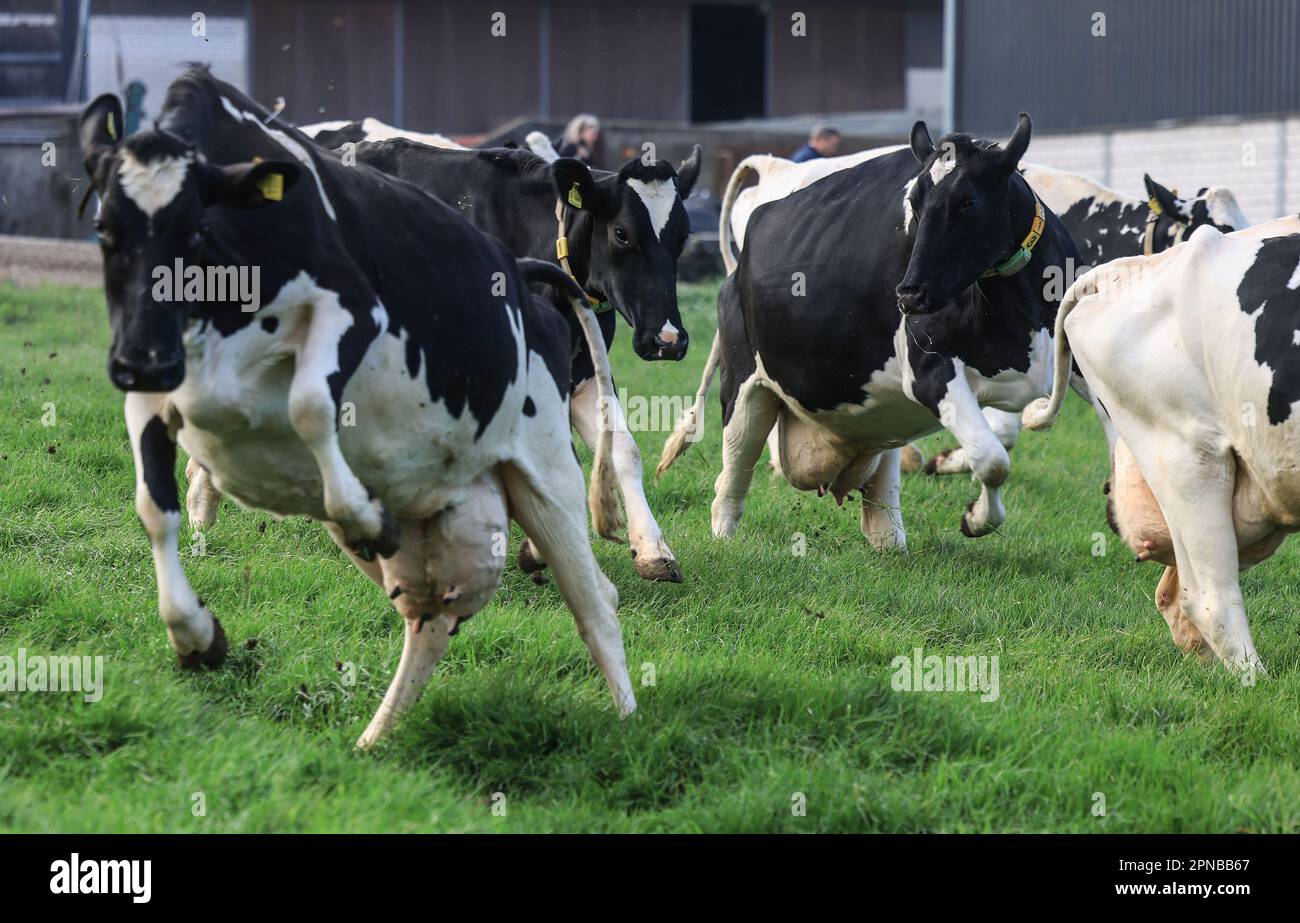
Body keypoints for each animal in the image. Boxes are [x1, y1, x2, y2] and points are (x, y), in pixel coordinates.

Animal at [79, 66, 635, 748]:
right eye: (106, 229)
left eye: (195, 228)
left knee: (596, 604)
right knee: (429, 623)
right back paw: (374, 739)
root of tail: (527, 278)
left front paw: (361, 513)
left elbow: (311, 405)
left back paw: (631, 722)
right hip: (435, 521)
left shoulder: (350, 310)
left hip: (547, 475)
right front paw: (196, 636)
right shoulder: (152, 385)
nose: (142, 358)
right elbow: (154, 510)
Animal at [659, 114, 1077, 548]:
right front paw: (977, 520)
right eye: (914, 203)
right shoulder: (931, 372)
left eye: (968, 201)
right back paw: (721, 536)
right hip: (744, 383)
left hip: (879, 412)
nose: (909, 293)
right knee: (733, 469)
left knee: (881, 484)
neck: (1017, 312)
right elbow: (992, 459)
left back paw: (888, 535)